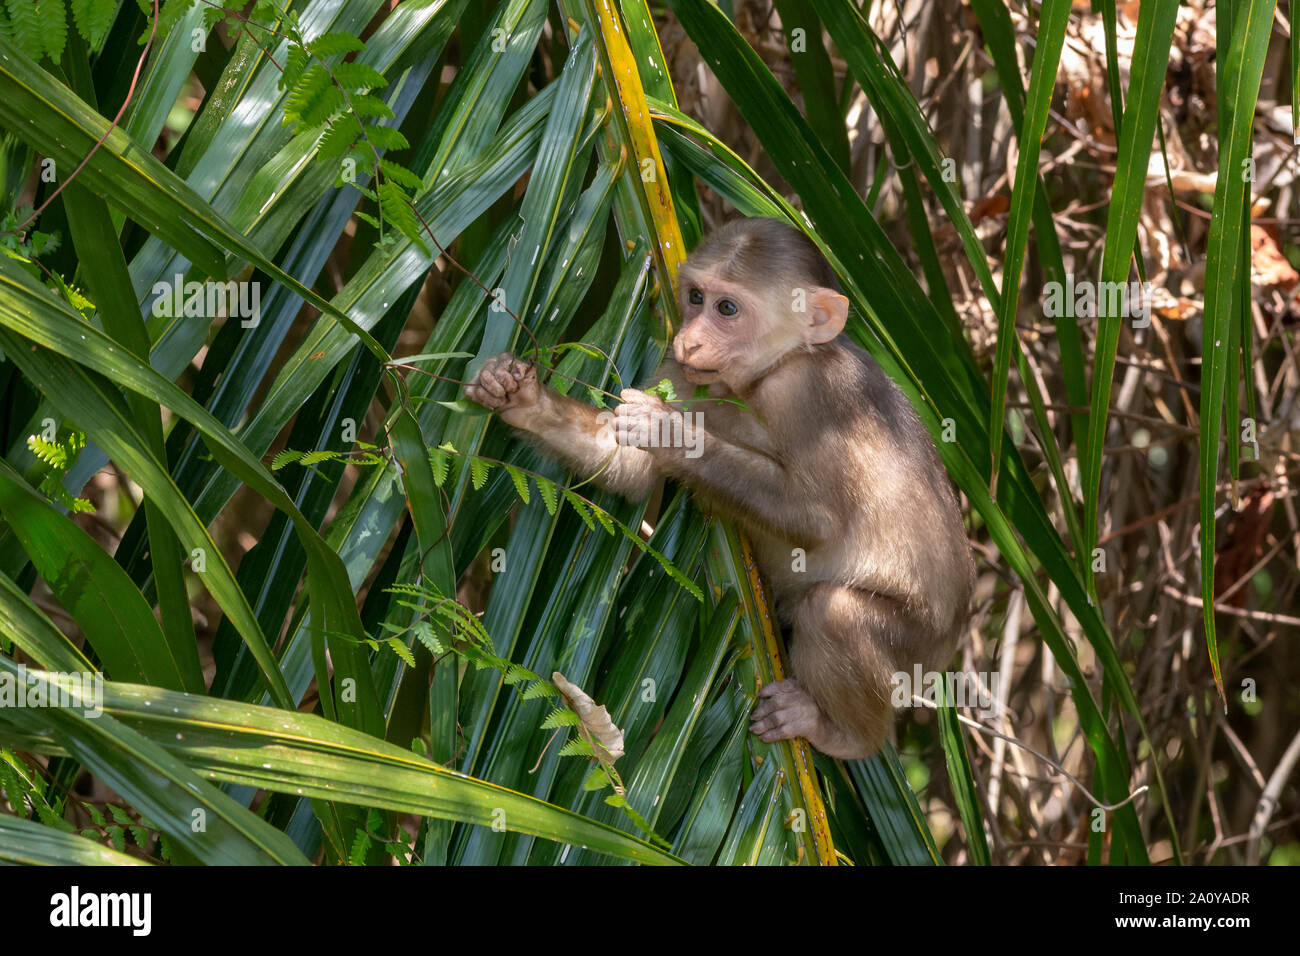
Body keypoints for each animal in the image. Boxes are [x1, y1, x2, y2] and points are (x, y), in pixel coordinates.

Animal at [465, 217, 974, 759]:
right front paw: (519, 396)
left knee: (834, 611)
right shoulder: (685, 375)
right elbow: (632, 470)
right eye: (694, 297)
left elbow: (818, 520)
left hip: (914, 648)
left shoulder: (810, 392)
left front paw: (670, 434)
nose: (689, 339)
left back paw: (844, 736)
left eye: (727, 308)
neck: (760, 379)